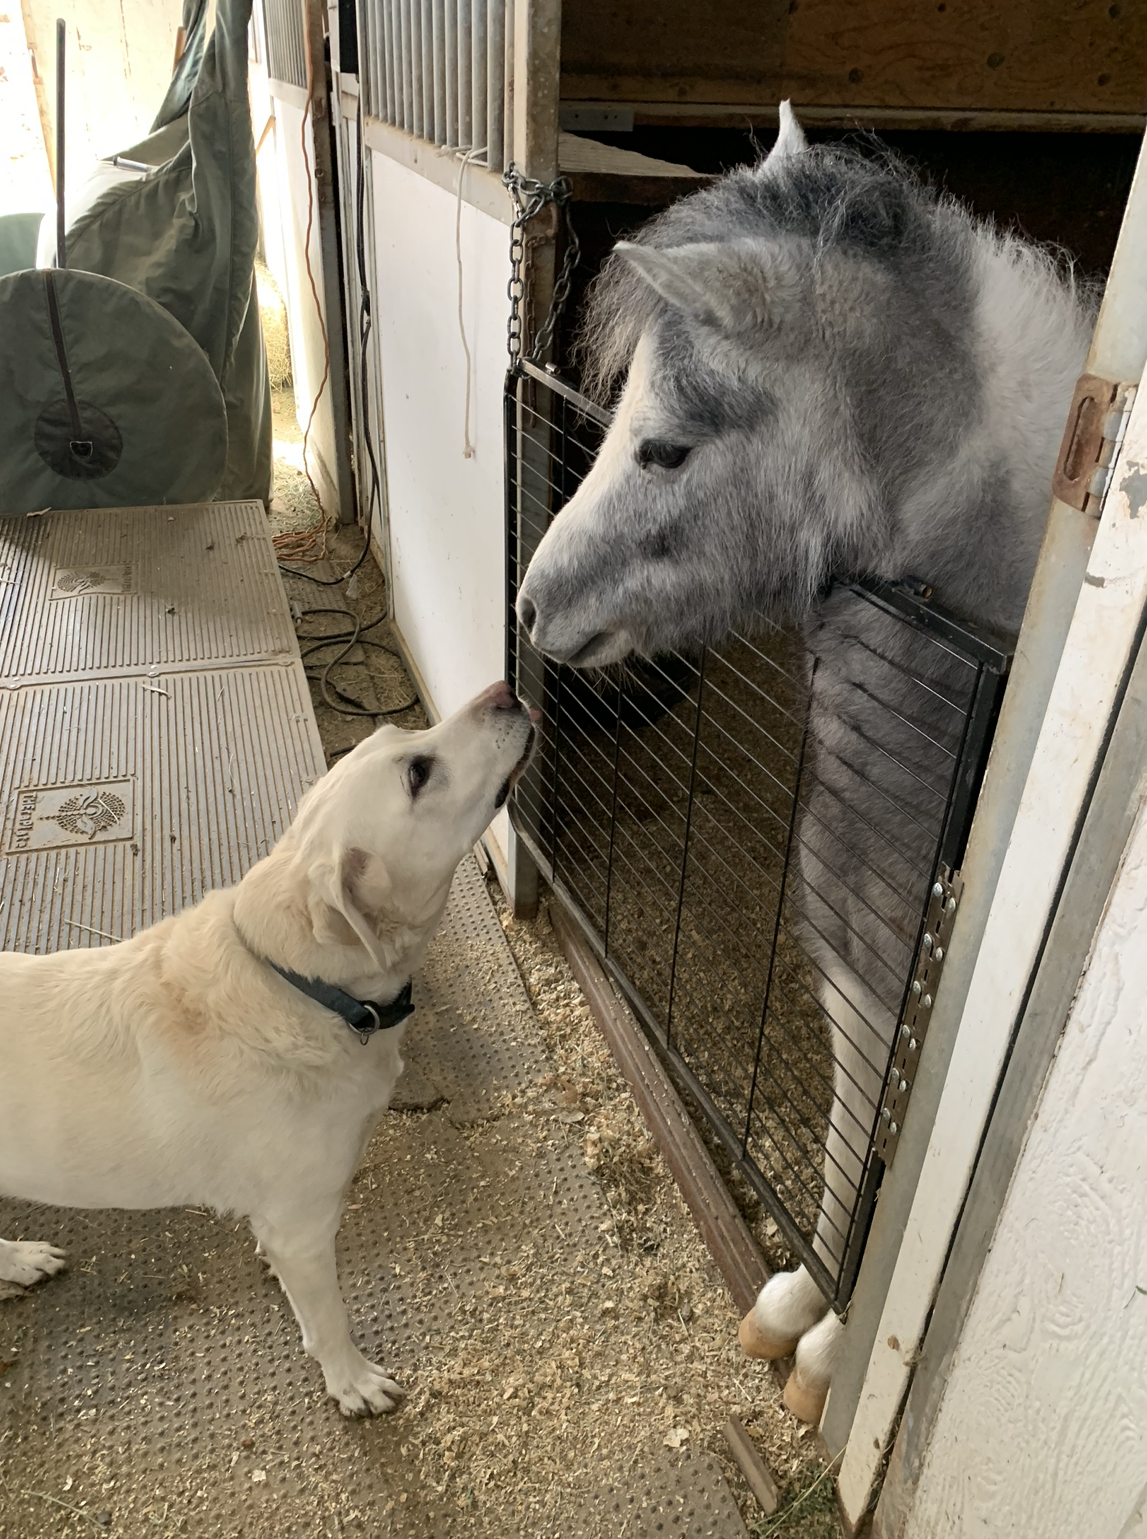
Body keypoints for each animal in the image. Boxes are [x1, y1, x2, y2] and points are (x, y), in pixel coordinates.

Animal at [515, 103, 1094, 1423]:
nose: (529, 606)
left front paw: (832, 1351)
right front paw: (802, 1309)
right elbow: (853, 1091)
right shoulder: (867, 944)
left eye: (667, 449)